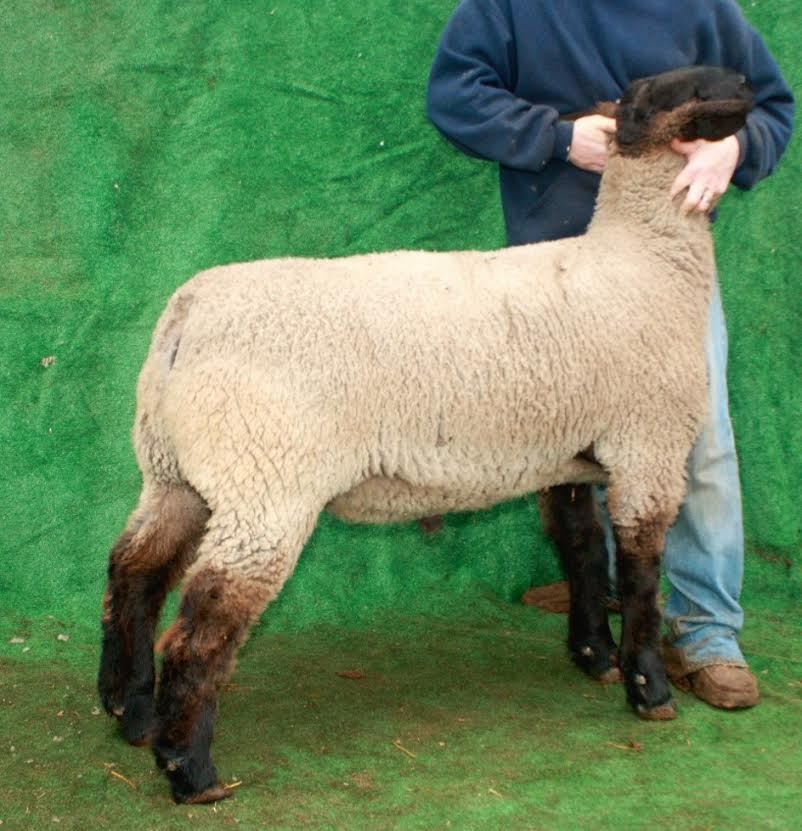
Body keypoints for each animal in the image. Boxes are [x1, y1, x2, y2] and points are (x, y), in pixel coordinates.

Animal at [98, 65, 754, 804]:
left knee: (133, 571)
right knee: (201, 626)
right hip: (265, 480)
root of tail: (186, 314)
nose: (749, 83)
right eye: (680, 85)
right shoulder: (649, 444)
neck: (642, 259)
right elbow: (641, 573)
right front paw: (649, 687)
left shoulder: (563, 453)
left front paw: (594, 654)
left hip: (178, 472)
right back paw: (190, 768)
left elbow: (581, 550)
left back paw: (129, 709)